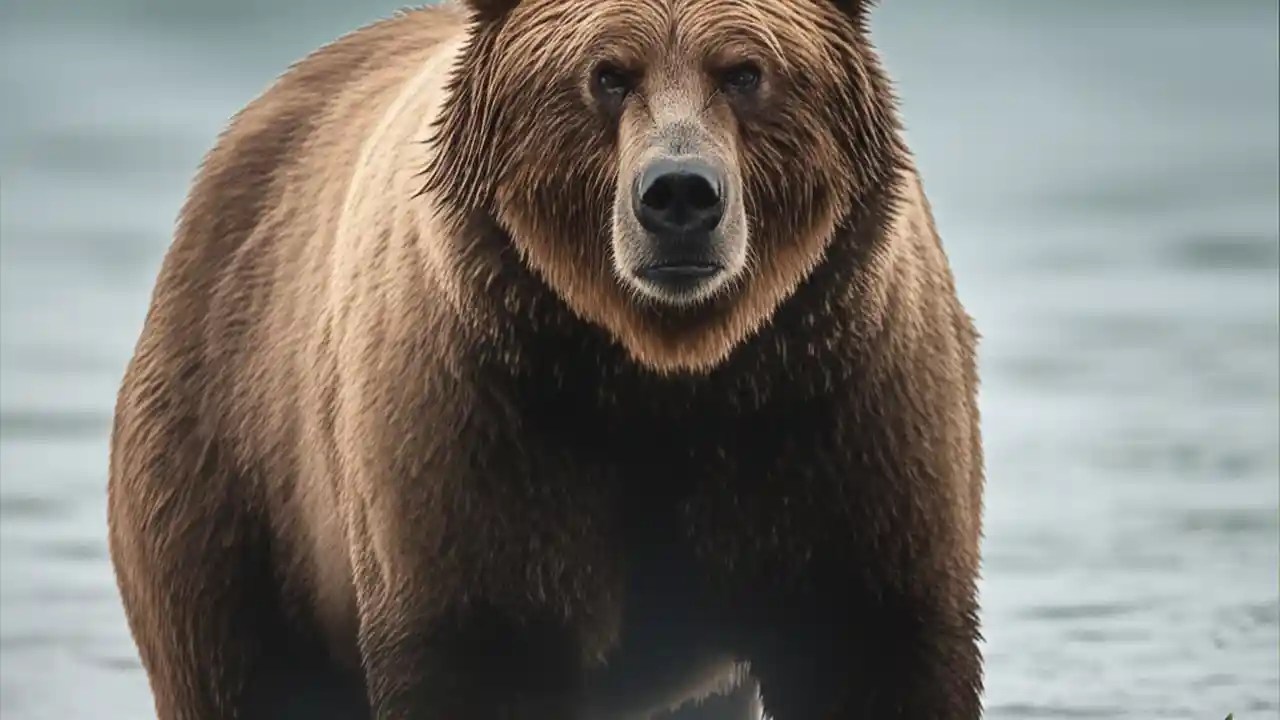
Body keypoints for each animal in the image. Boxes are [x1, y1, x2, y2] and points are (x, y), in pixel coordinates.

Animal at [106, 0, 985, 718]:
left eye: (745, 72)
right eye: (606, 75)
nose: (679, 195)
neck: (668, 371)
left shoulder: (836, 411)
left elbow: (874, 642)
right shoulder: (486, 420)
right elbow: (484, 639)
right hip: (235, 475)